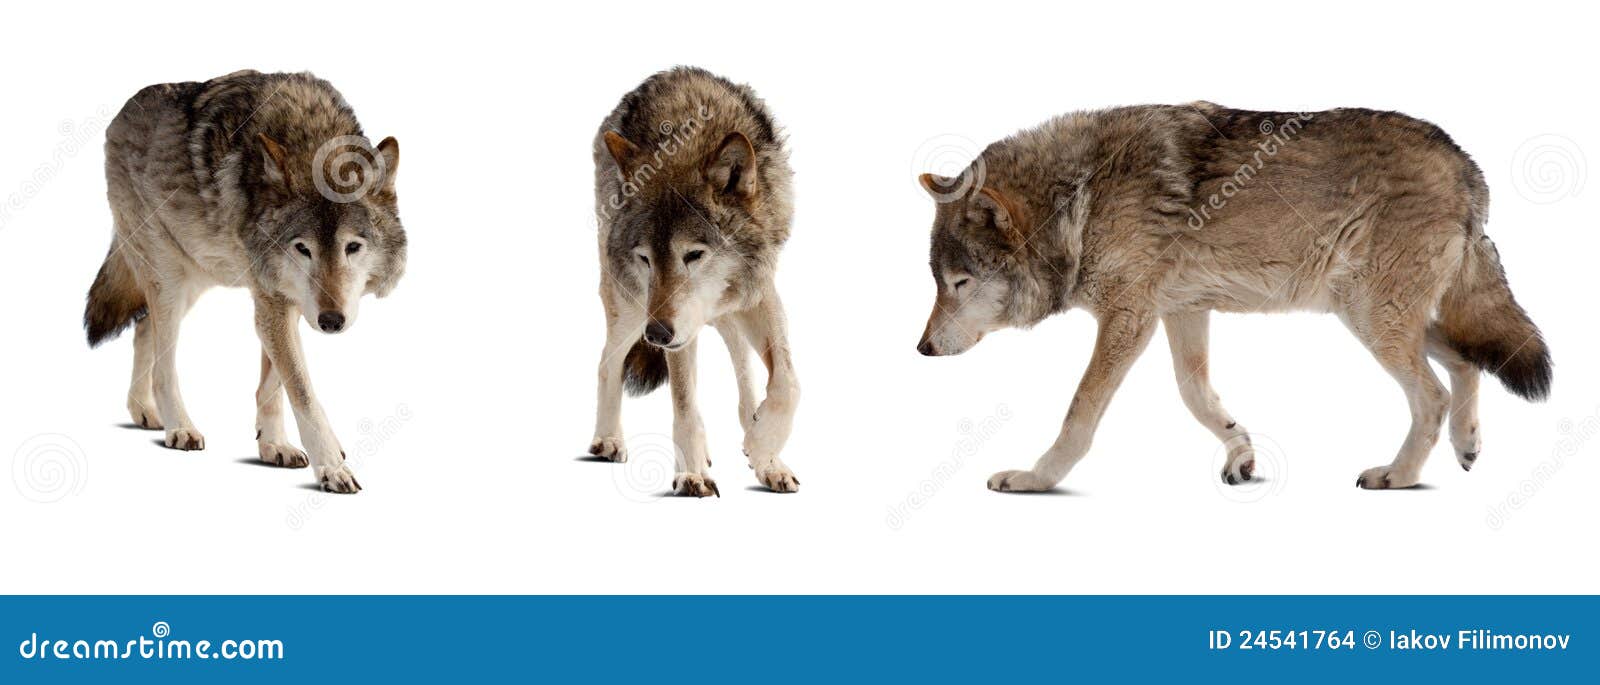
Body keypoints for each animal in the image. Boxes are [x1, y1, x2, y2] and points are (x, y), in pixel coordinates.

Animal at [84, 70, 405, 493]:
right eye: (303, 249)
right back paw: (179, 427)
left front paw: (274, 445)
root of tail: (121, 112)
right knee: (164, 364)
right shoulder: (273, 299)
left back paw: (145, 411)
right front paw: (332, 466)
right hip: (169, 279)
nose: (331, 322)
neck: (310, 135)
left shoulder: (283, 301)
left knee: (142, 329)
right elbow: (302, 389)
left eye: (353, 247)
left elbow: (276, 383)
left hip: (195, 278)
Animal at [588, 67, 801, 496]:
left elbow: (787, 381)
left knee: (745, 377)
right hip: (631, 307)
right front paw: (692, 474)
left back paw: (760, 452)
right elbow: (684, 403)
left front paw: (764, 449)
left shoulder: (758, 289)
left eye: (693, 255)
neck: (690, 143)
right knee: (607, 362)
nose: (656, 335)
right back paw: (609, 439)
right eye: (646, 258)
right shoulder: (670, 324)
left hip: (711, 315)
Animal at [915, 103, 1550, 492]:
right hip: (1373, 315)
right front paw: (1241, 454)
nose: (922, 349)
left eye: (960, 283)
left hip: (1372, 318)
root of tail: (1466, 164)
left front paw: (1035, 479)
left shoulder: (1129, 317)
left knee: (1434, 394)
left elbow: (1079, 414)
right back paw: (1467, 446)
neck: (1082, 197)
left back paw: (1398, 475)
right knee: (1467, 359)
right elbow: (1198, 398)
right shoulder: (1181, 312)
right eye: (937, 282)